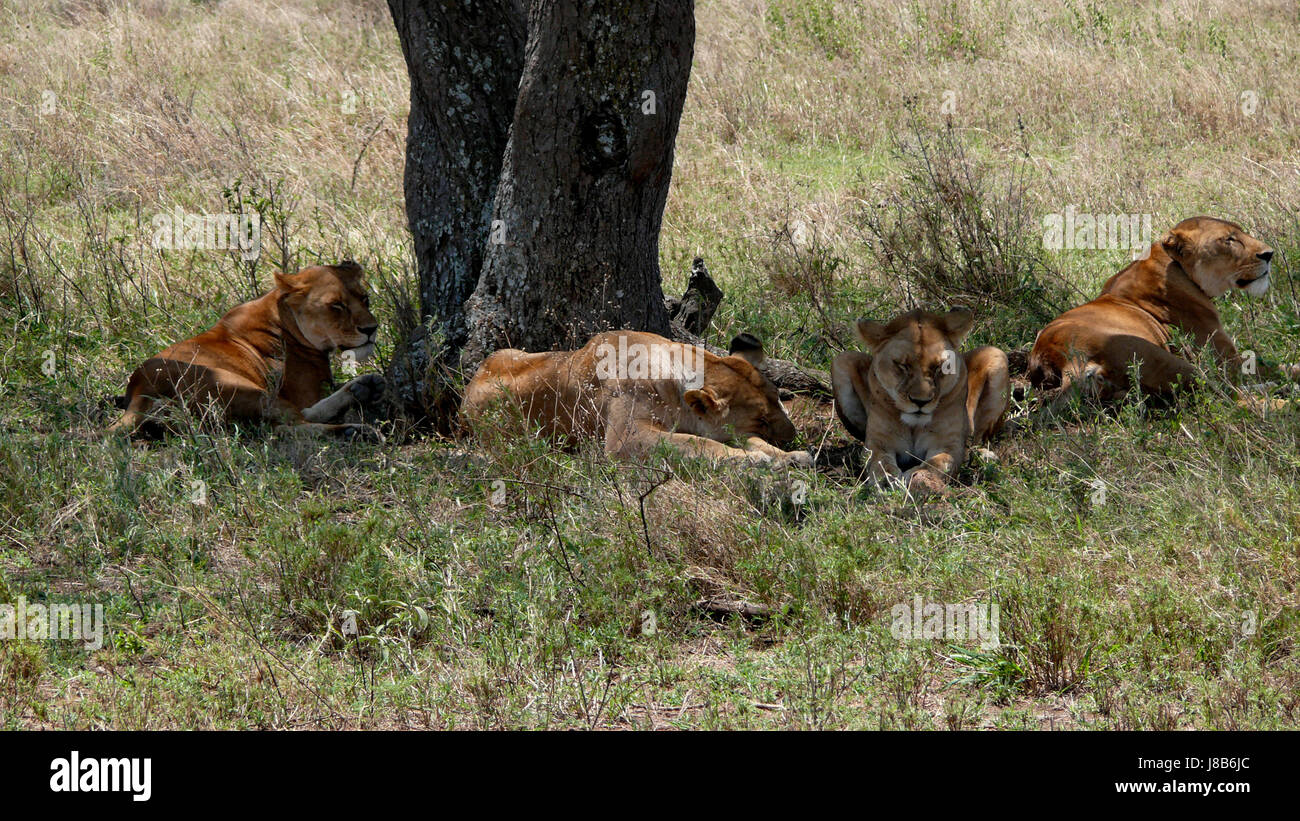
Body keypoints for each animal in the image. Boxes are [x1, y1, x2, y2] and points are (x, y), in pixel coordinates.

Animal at [108, 261, 384, 439]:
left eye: (365, 299)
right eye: (336, 305)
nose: (372, 328)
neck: (278, 312)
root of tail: (141, 386)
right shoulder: (305, 391)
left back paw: (364, 387)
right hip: (243, 388)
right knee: (285, 427)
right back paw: (355, 430)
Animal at [462, 330, 813, 466]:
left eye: (779, 400)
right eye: (762, 418)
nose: (793, 436)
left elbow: (747, 441)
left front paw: (790, 457)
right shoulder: (624, 438)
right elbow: (695, 443)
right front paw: (757, 459)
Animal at [830, 308, 1010, 493]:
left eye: (939, 367)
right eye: (902, 365)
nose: (920, 402)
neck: (913, 426)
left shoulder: (949, 445)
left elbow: (938, 463)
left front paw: (918, 475)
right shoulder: (877, 443)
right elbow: (879, 462)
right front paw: (886, 480)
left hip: (997, 354)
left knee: (978, 439)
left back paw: (985, 456)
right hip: (841, 360)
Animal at [1028, 216, 1281, 400]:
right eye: (1228, 239)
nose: (1269, 254)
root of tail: (1055, 355)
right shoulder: (1228, 362)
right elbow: (1276, 366)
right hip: (1164, 358)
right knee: (1225, 395)